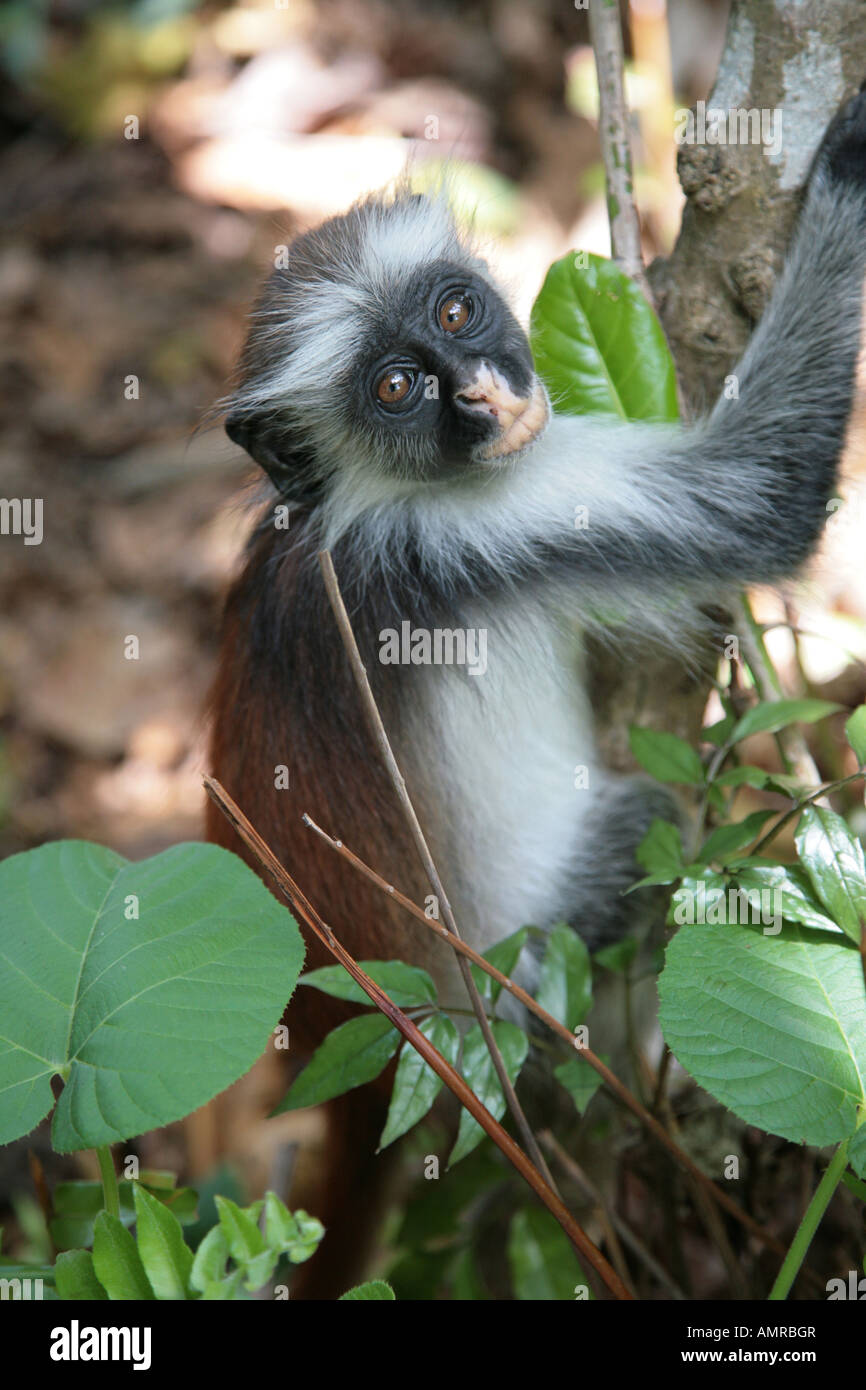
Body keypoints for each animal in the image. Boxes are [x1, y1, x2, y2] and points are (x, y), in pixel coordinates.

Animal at [207, 88, 866, 1297]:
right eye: (396, 387)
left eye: (457, 311)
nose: (481, 391)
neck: (336, 510)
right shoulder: (481, 520)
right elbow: (766, 500)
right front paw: (852, 160)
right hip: (519, 973)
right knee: (651, 827)